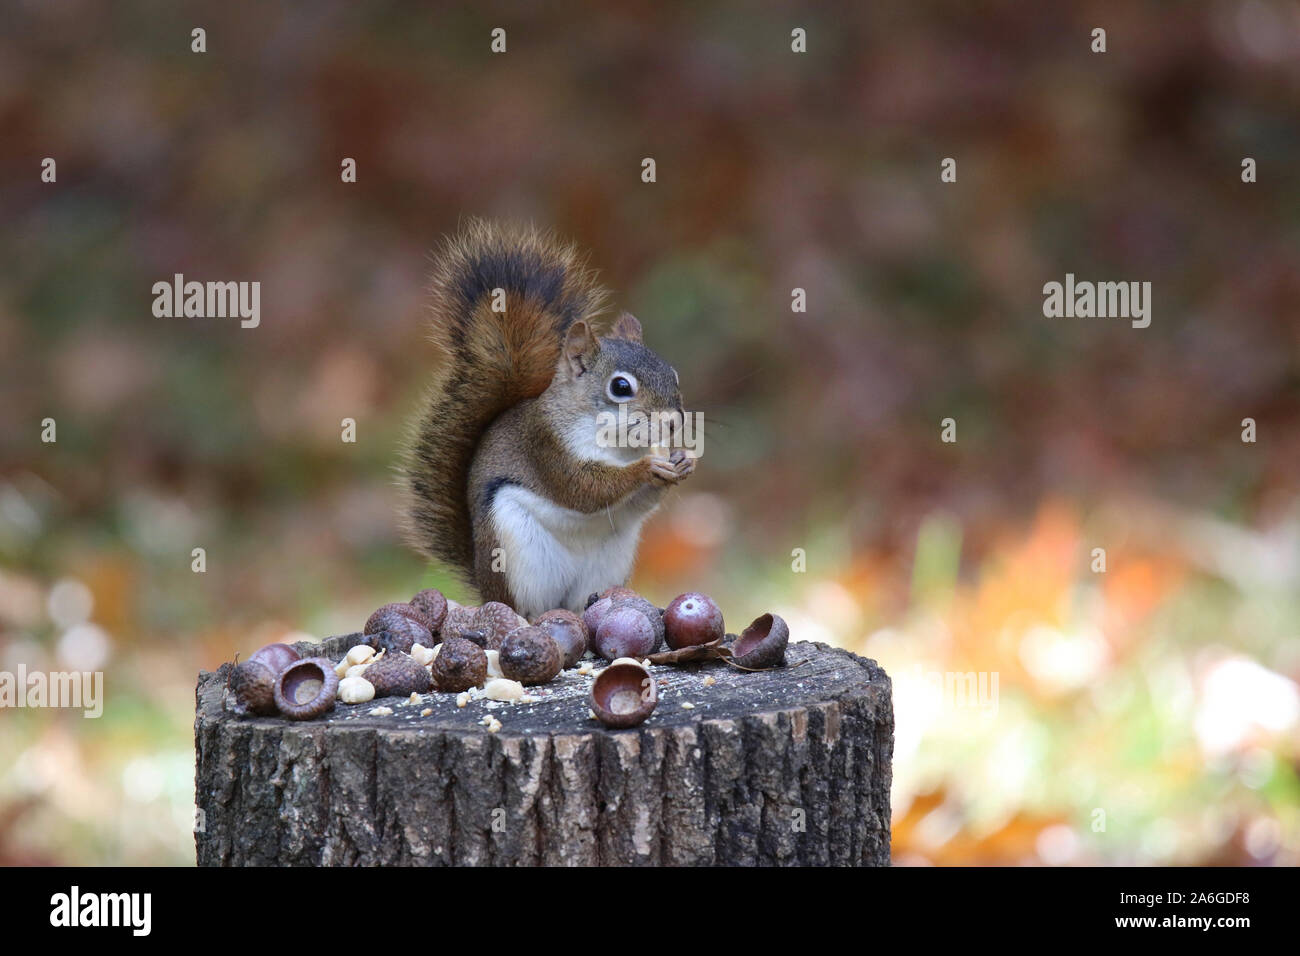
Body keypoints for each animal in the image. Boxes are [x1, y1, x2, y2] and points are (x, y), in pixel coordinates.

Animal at [401, 219, 696, 619]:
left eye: (673, 374)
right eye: (620, 386)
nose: (673, 423)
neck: (617, 447)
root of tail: (485, 589)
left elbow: (636, 503)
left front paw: (681, 460)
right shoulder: (546, 445)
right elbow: (584, 489)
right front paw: (647, 468)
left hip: (608, 563)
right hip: (514, 551)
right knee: (524, 607)